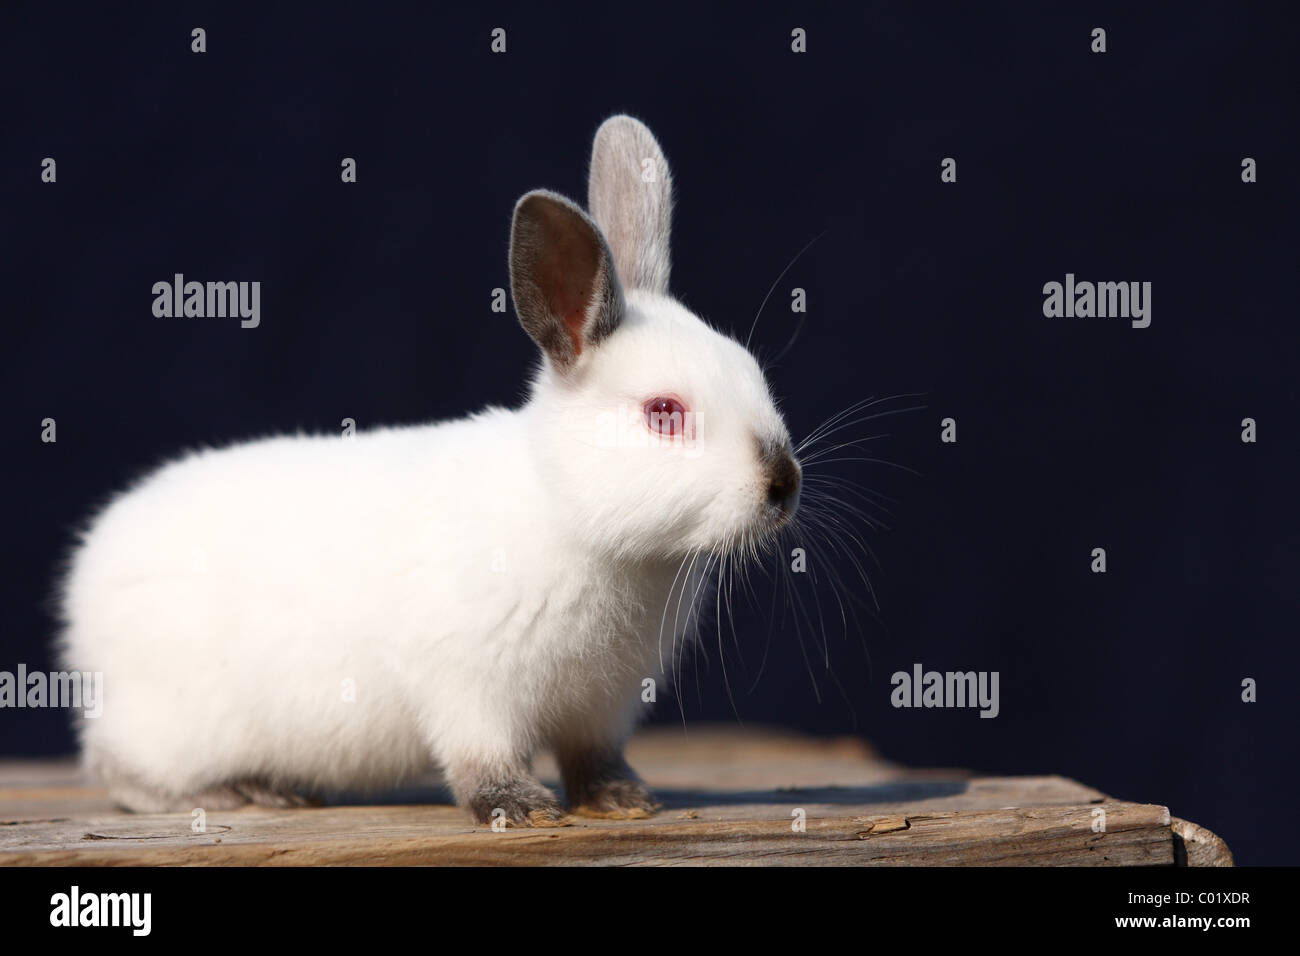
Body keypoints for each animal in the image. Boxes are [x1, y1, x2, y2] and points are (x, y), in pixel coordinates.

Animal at [56, 115, 803, 826]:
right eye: (664, 413)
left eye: (753, 371)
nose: (784, 485)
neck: (567, 512)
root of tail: (86, 583)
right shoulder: (471, 689)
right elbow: (480, 757)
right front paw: (519, 808)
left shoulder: (601, 706)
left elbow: (594, 758)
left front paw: (622, 799)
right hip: (170, 724)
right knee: (118, 772)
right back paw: (250, 793)